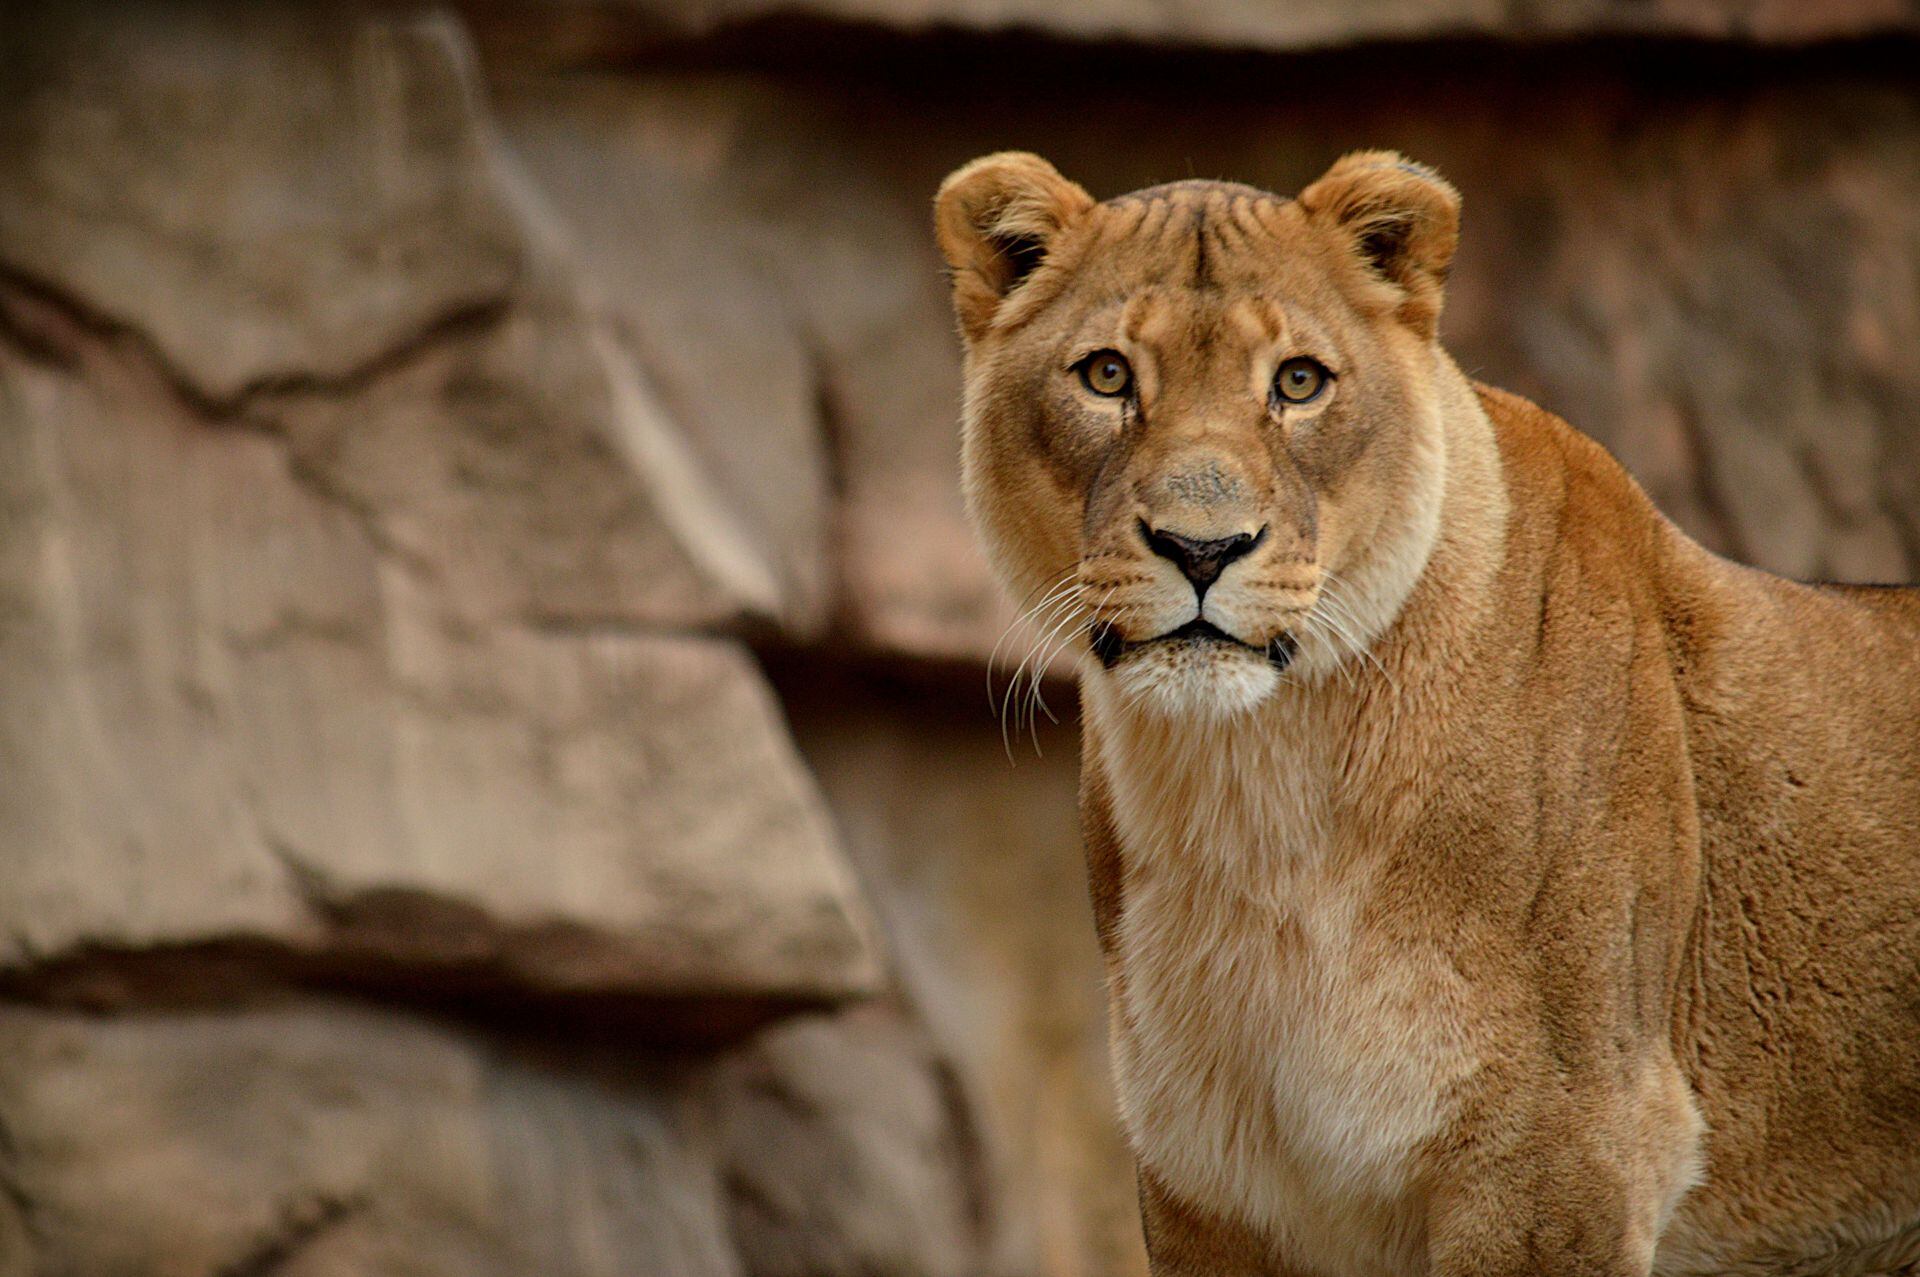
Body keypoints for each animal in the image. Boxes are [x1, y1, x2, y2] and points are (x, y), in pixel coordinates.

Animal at [933, 150, 1920, 1276]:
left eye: (1299, 381)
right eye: (1106, 376)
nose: (1201, 547)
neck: (1255, 797)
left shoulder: (1566, 1148)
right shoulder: (1211, 1179)